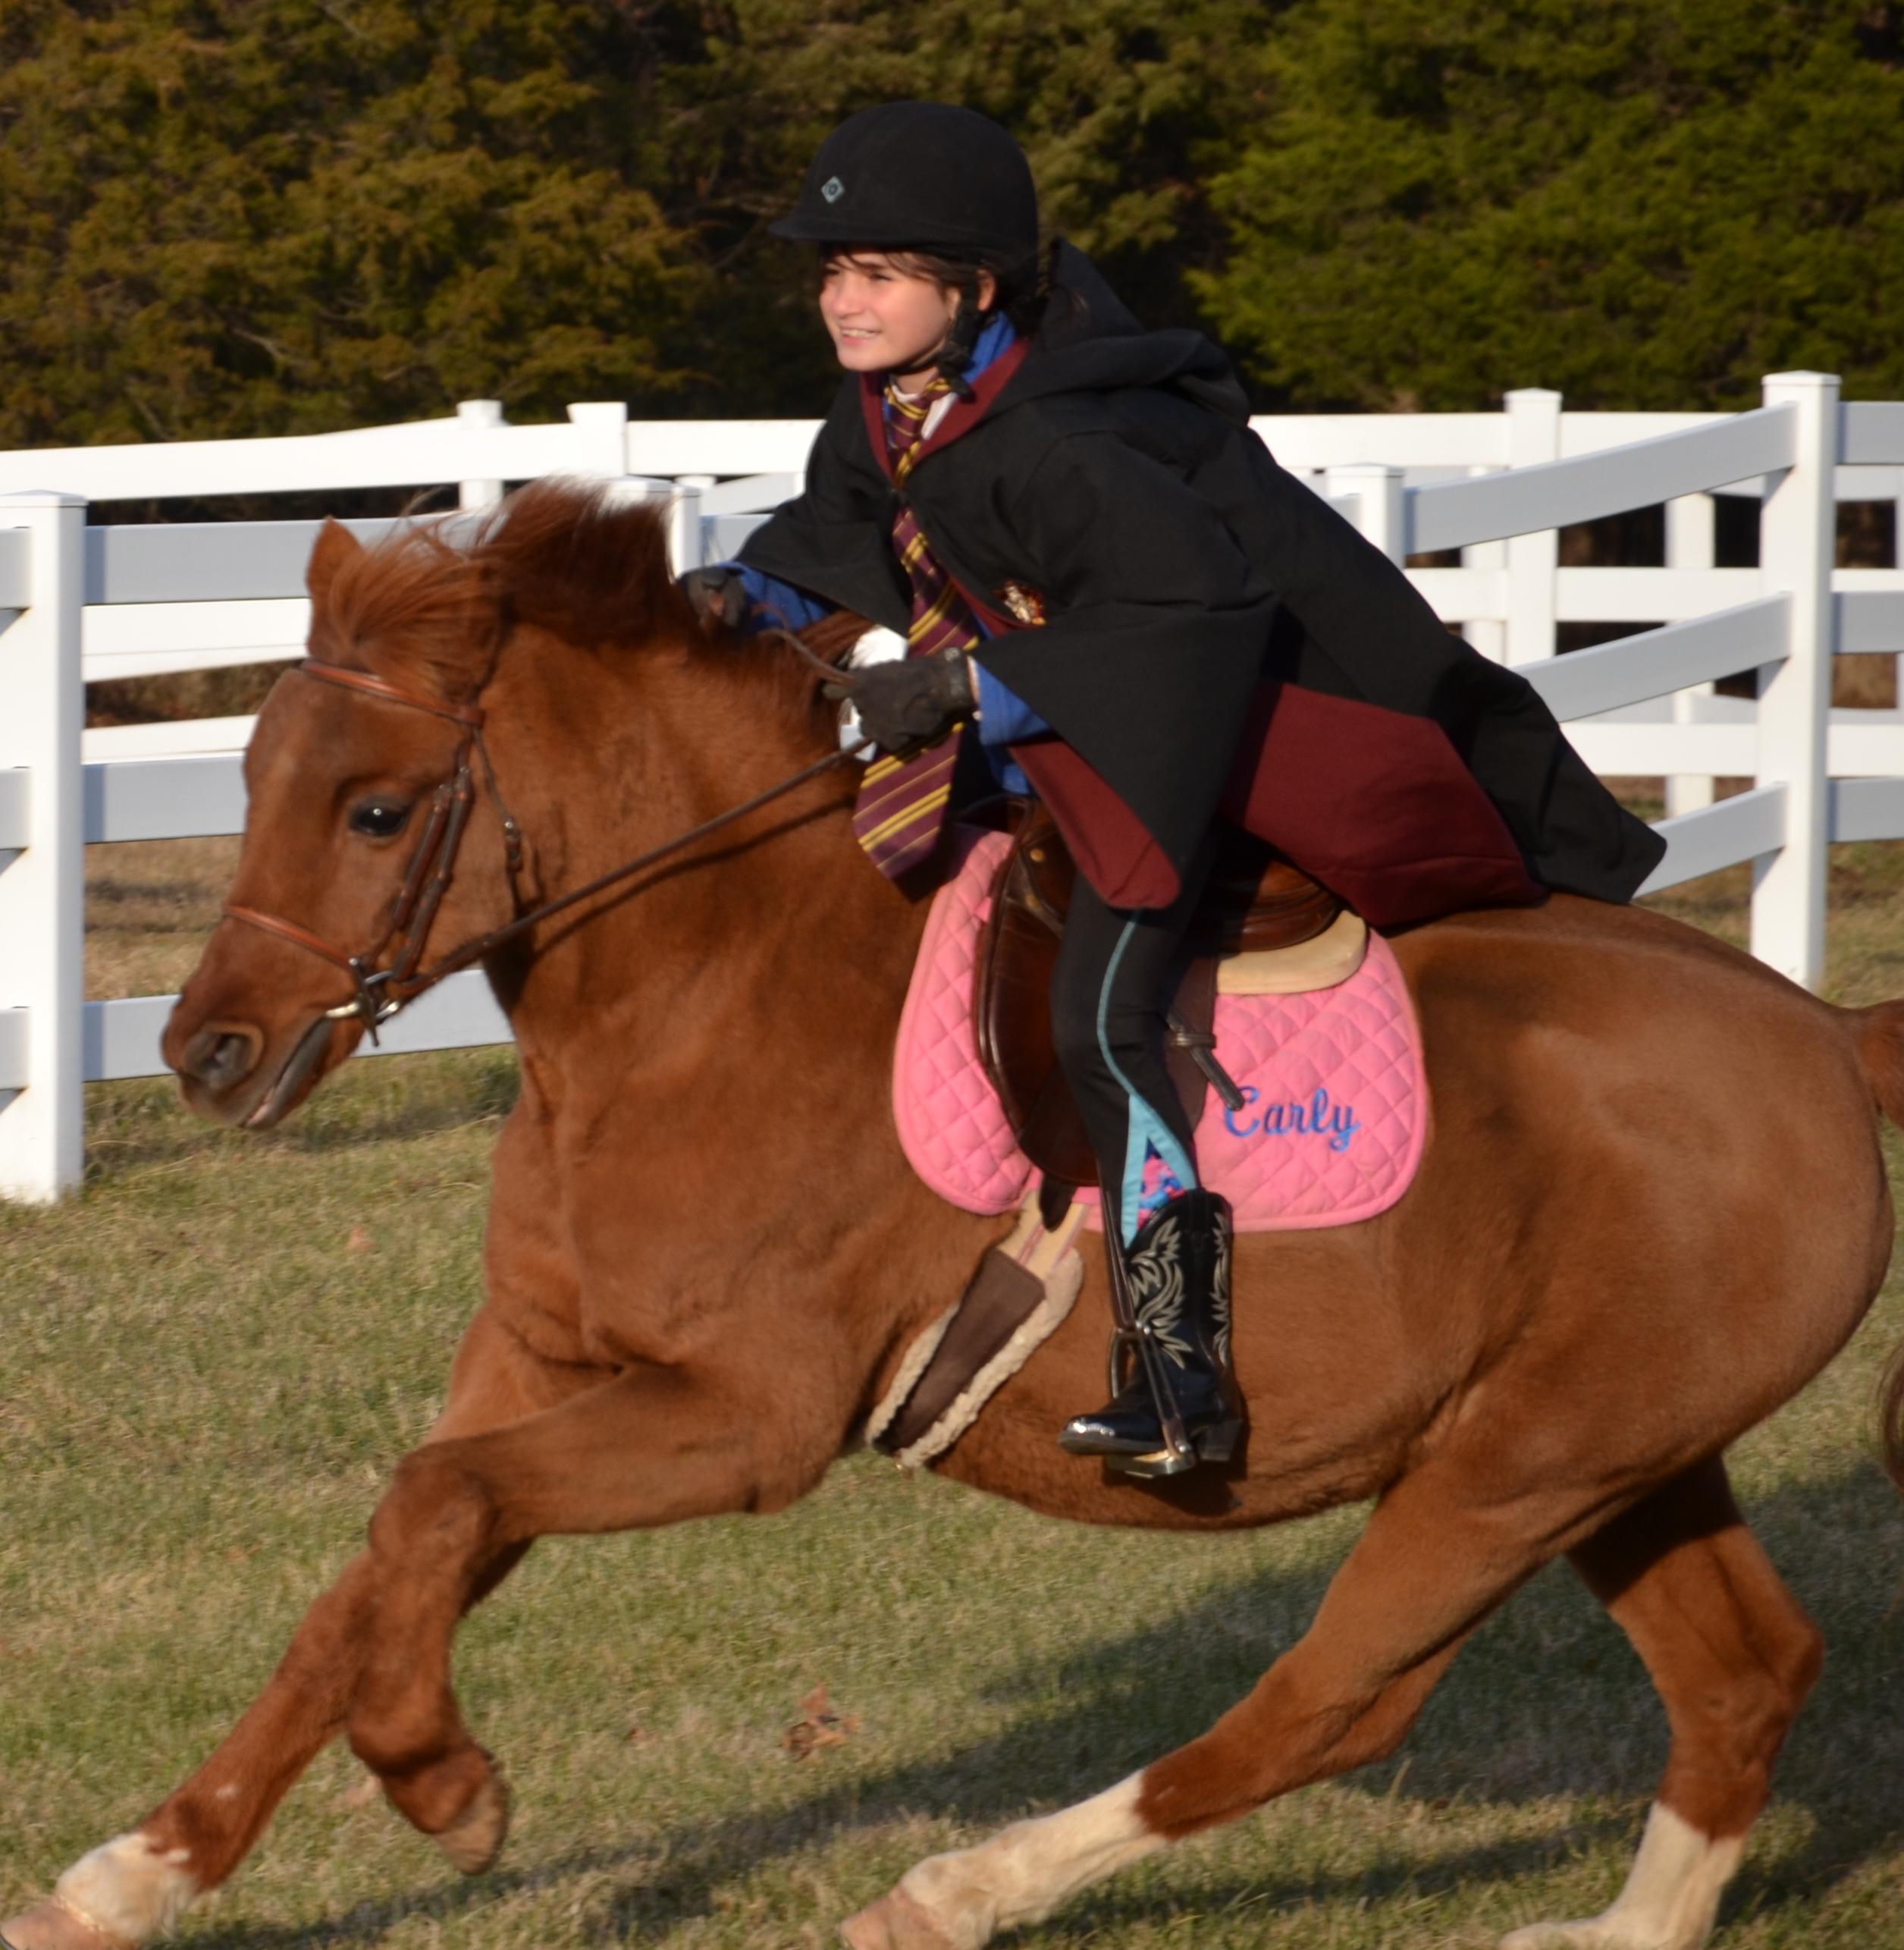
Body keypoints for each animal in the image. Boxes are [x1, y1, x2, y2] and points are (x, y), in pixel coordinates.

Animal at [8, 478, 1904, 1950]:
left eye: (378, 807)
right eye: (253, 779)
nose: (201, 1053)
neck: (695, 996)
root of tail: (1824, 1035)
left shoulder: (747, 1418)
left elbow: (431, 1507)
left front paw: (440, 1778)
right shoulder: (538, 1358)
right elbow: (385, 1558)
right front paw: (136, 1872)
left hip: (1503, 1475)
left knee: (1329, 1705)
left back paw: (952, 1889)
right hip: (1620, 1457)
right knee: (1743, 1672)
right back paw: (1620, 1920)